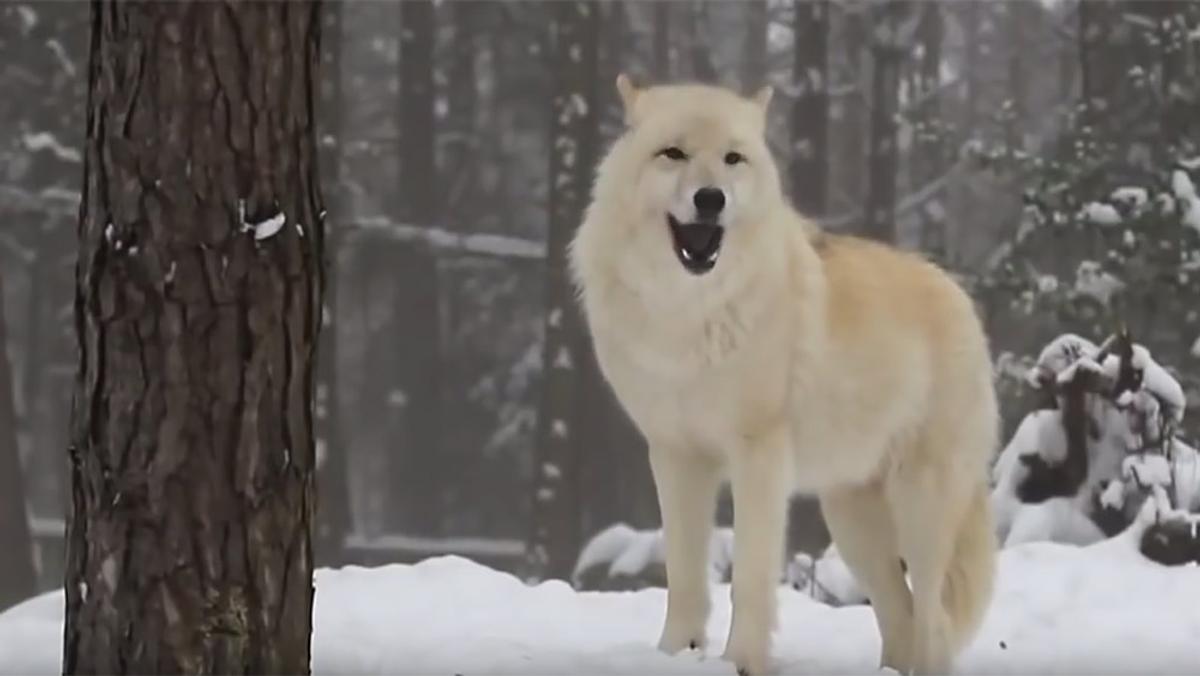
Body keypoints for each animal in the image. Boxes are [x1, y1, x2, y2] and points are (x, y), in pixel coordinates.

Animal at [569, 75, 998, 676]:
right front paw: (676, 654)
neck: (690, 316)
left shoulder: (759, 456)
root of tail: (959, 294)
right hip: (852, 521)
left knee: (932, 619)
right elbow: (684, 578)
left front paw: (743, 661)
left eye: (733, 159)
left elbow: (750, 579)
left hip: (920, 510)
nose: (711, 198)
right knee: (901, 614)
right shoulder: (676, 456)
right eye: (673, 153)